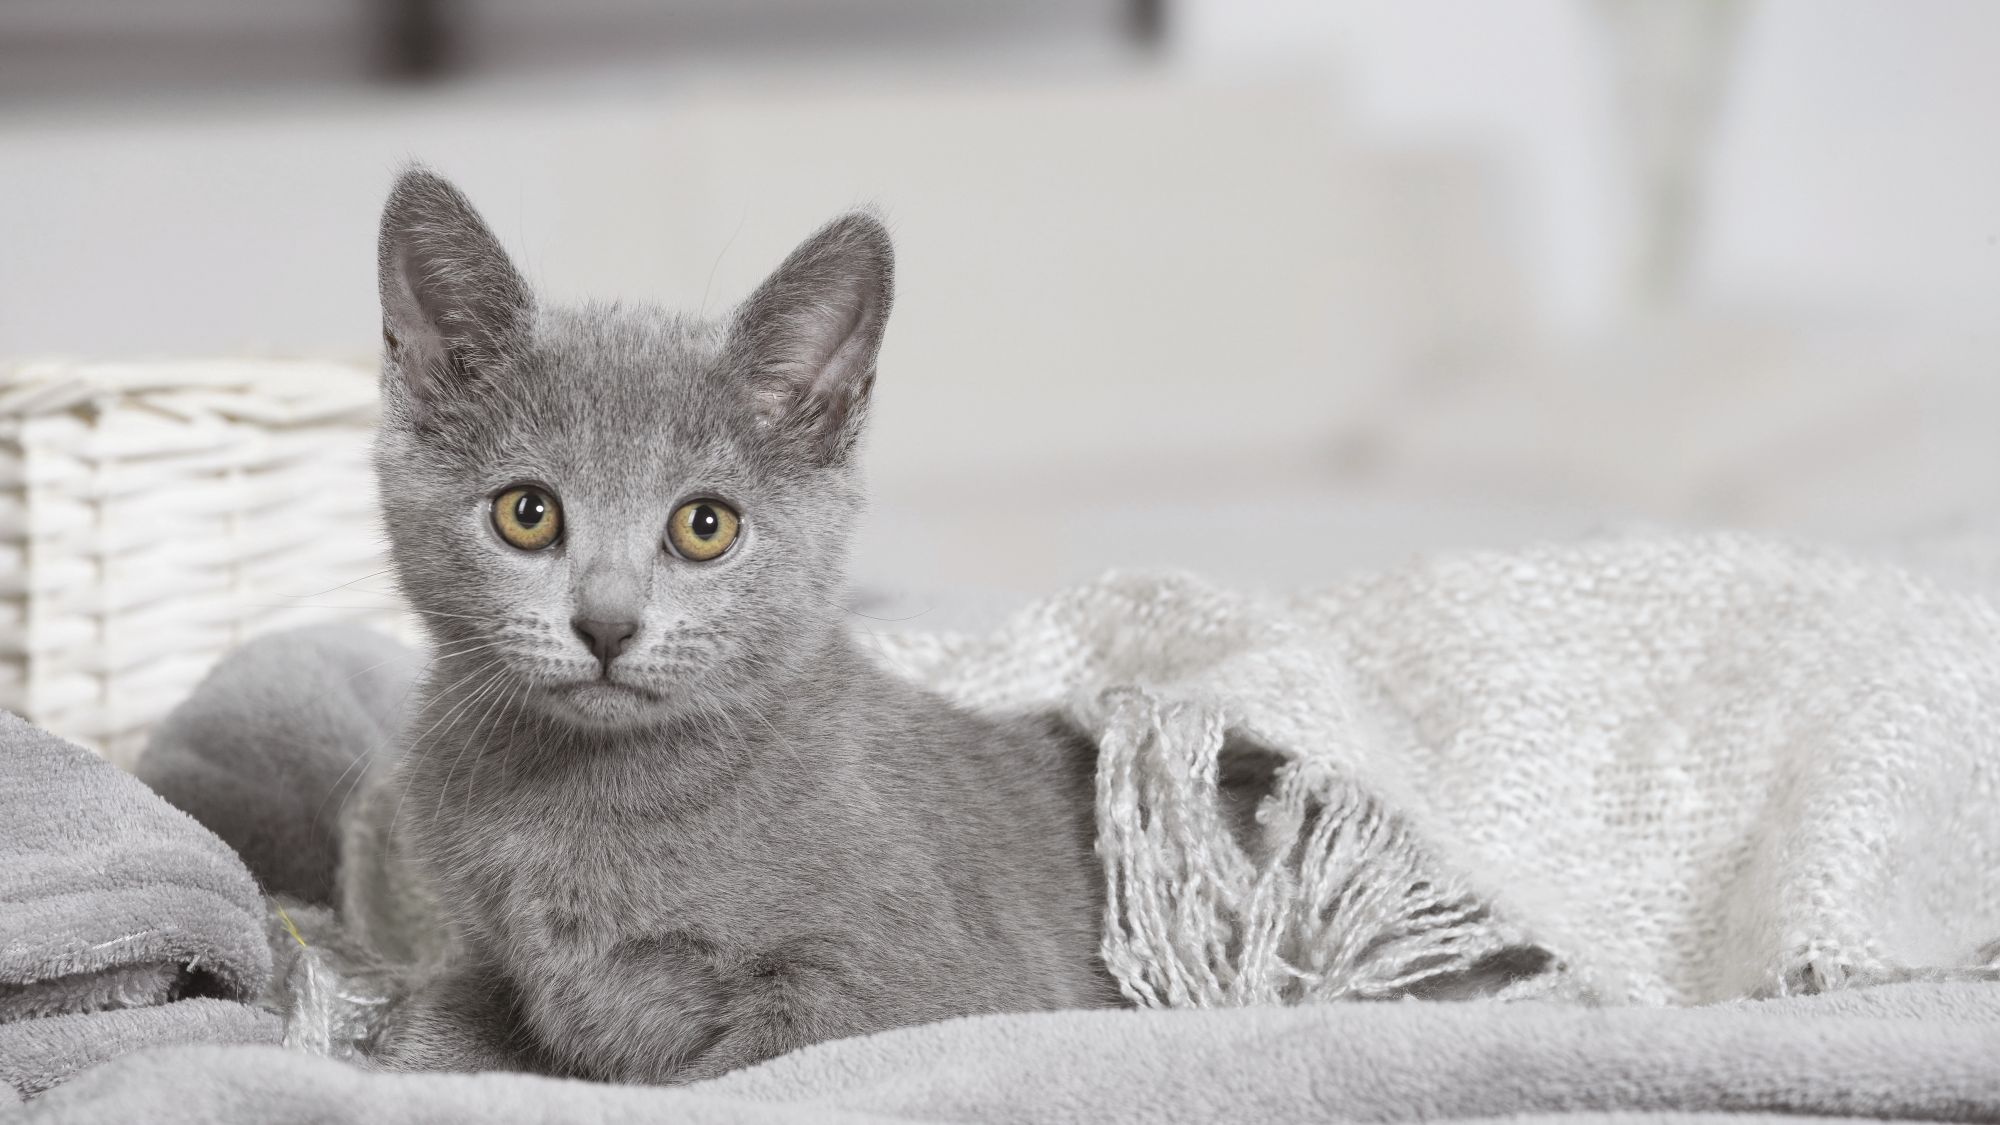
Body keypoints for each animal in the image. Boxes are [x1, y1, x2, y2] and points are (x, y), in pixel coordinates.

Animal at [368, 168, 1128, 1080]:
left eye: (706, 525)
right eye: (527, 512)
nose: (608, 625)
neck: (589, 788)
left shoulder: (925, 992)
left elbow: (718, 1078)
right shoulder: (491, 961)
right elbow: (435, 1027)